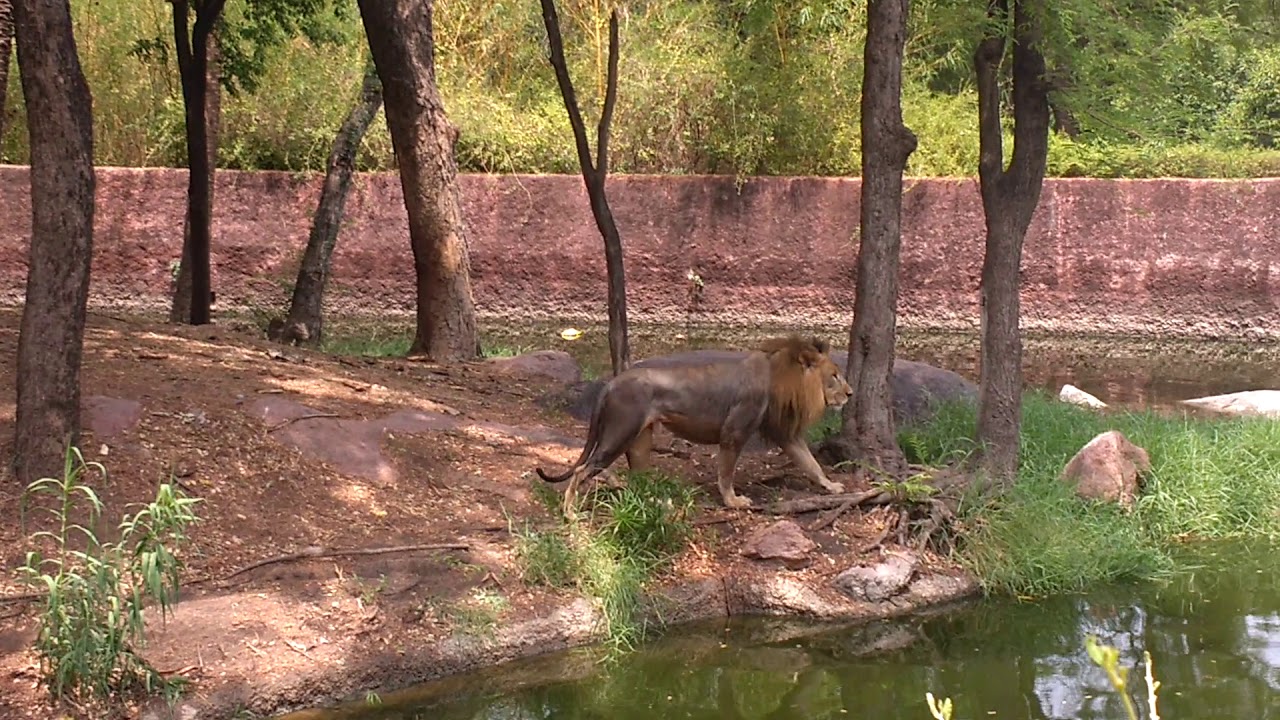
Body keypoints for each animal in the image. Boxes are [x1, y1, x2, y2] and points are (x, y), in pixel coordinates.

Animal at [536, 335, 853, 515]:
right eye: (834, 375)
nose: (850, 394)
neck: (785, 379)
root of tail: (612, 382)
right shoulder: (734, 431)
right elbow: (726, 472)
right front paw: (733, 502)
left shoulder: (784, 433)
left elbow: (810, 462)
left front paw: (832, 486)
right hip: (620, 432)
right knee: (583, 469)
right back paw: (570, 513)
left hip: (639, 439)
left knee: (637, 478)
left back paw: (658, 503)